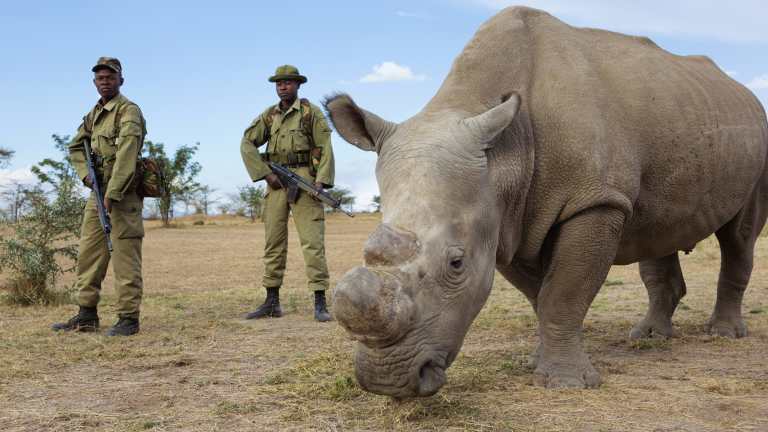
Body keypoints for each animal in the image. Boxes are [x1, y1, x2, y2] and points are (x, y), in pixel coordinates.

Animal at [324, 6, 768, 398]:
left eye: (456, 263)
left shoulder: (593, 201)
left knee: (739, 237)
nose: (388, 381)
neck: (504, 157)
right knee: (658, 229)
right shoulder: (506, 219)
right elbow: (541, 296)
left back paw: (723, 334)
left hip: (756, 133)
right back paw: (649, 337)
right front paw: (539, 363)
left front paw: (566, 384)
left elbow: (563, 293)